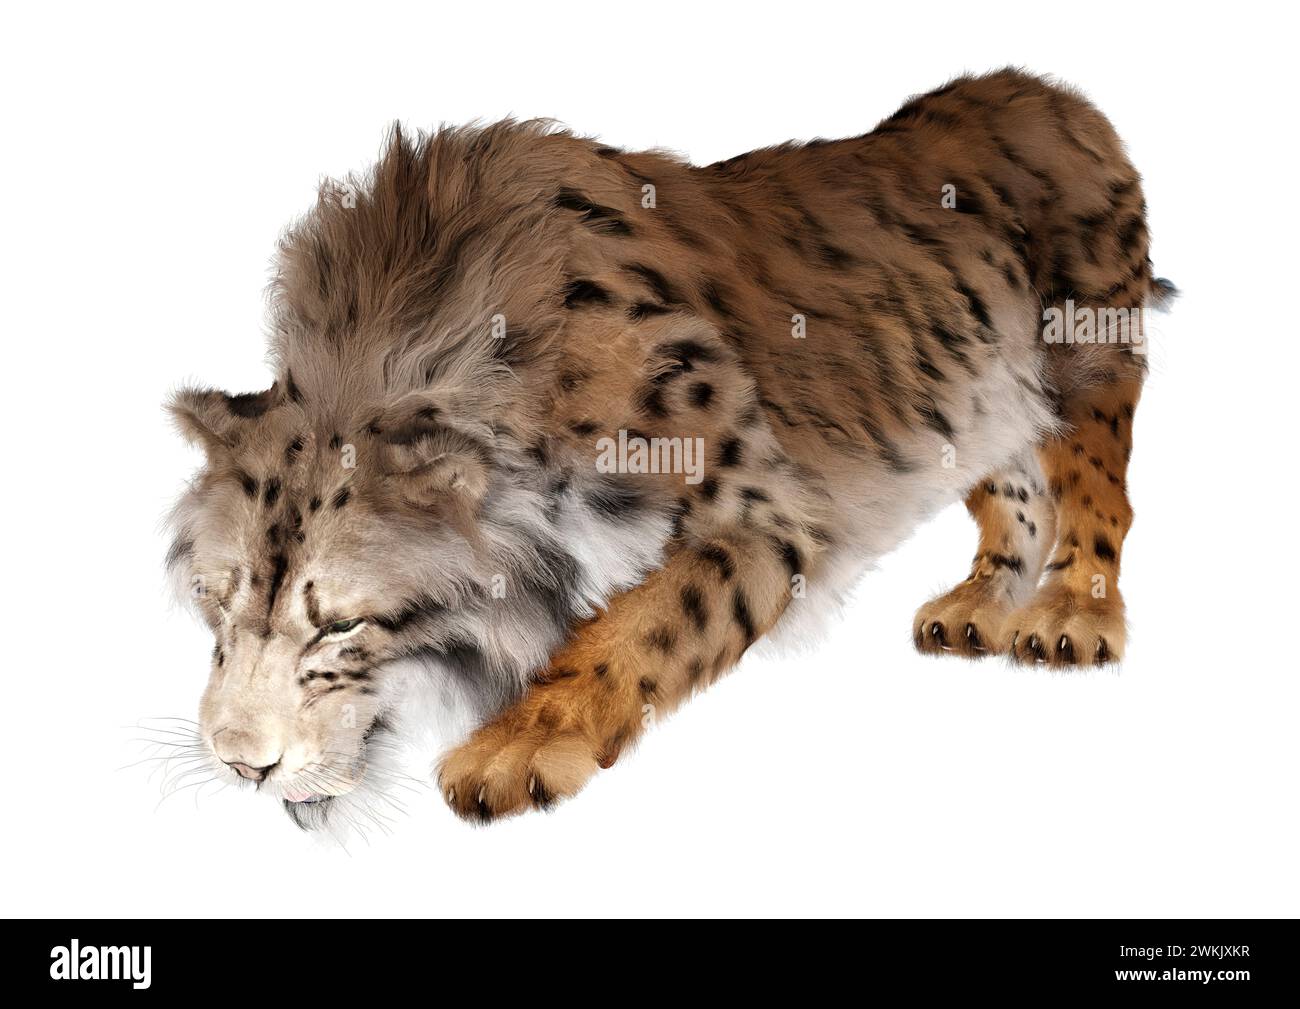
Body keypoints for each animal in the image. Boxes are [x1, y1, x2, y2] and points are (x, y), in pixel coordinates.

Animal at [164, 68, 1172, 830]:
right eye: (215, 604)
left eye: (341, 625)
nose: (238, 764)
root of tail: (1052, 92)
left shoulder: (768, 514)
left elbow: (641, 624)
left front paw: (519, 744)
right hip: (978, 398)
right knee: (1015, 486)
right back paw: (983, 604)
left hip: (1086, 361)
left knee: (1099, 493)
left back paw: (1072, 615)